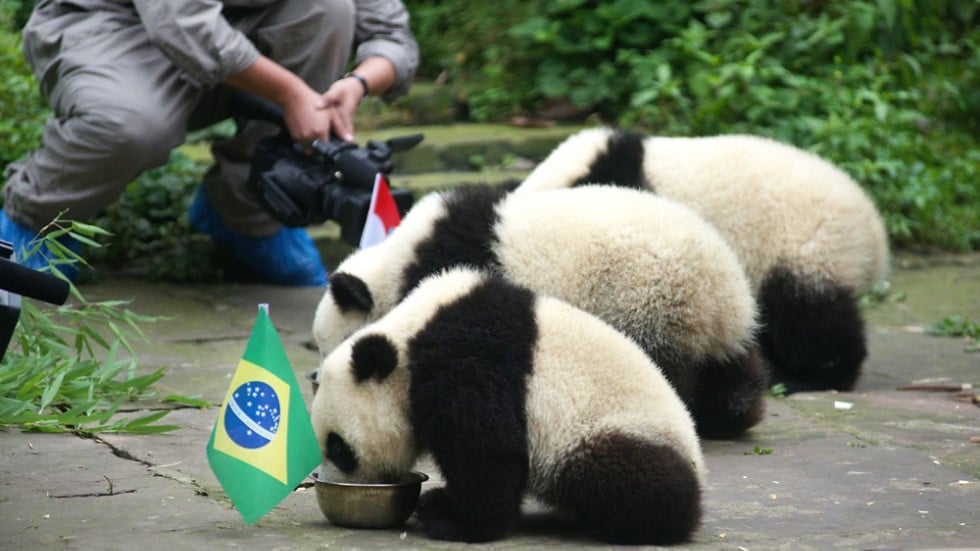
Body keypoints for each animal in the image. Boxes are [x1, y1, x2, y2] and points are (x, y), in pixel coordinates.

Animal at [311, 266, 705, 544]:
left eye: (339, 448)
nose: (331, 481)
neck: (408, 337)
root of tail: (694, 451)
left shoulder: (468, 363)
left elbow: (484, 451)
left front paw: (453, 519)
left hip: (613, 429)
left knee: (627, 476)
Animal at [314, 184, 767, 439]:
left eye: (336, 342)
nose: (316, 376)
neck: (396, 262)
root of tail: (722, 289)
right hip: (710, 321)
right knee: (733, 365)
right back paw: (732, 414)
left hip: (647, 298)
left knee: (666, 364)